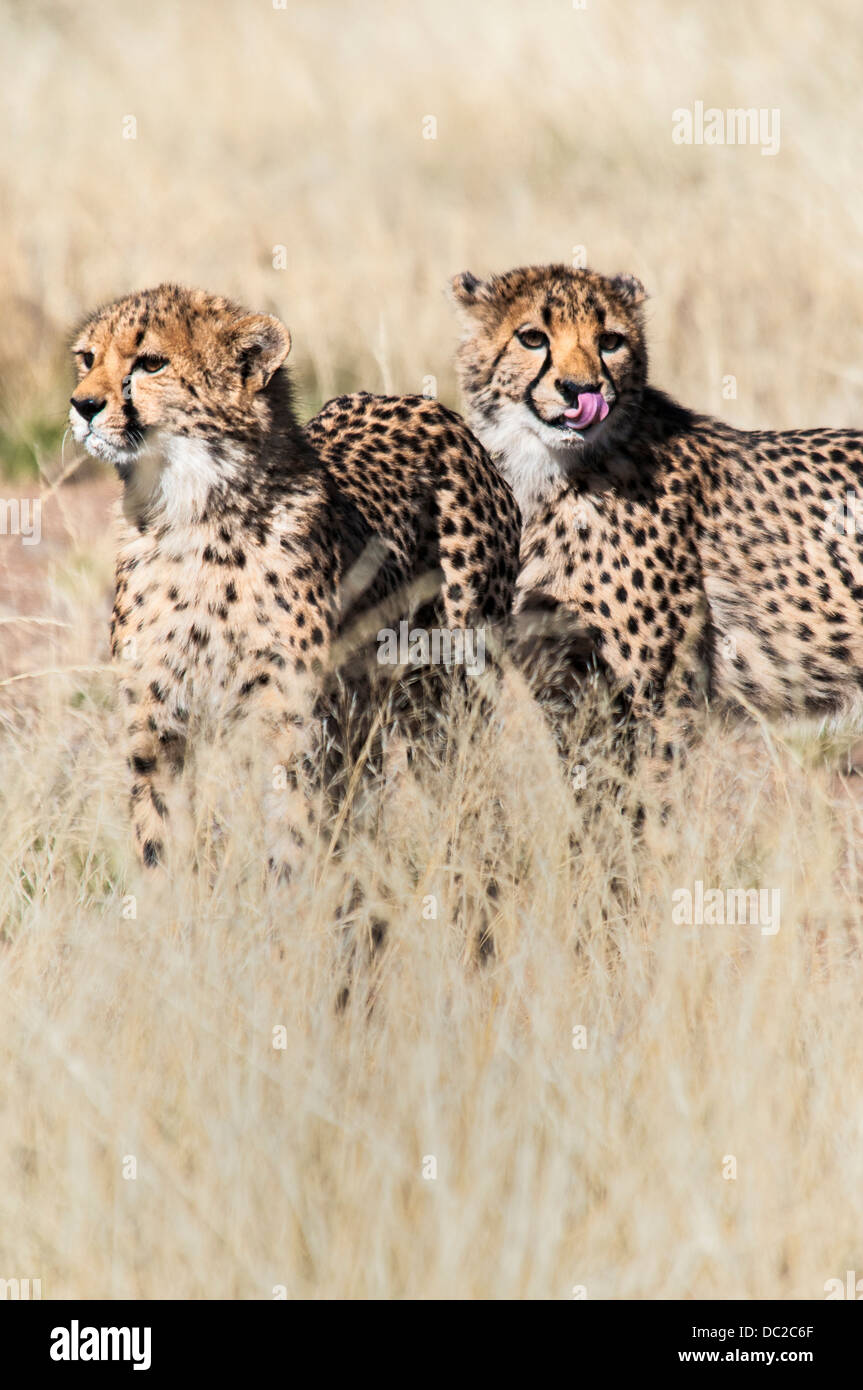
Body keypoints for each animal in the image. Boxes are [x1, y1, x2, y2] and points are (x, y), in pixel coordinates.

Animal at [69, 283, 520, 875]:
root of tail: (428, 405)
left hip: (453, 690)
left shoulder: (292, 727)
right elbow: (158, 842)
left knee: (462, 786)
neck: (190, 515)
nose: (83, 406)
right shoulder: (157, 726)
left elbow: (292, 838)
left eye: (151, 362)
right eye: (87, 358)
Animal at [450, 262, 863, 764]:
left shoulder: (661, 698)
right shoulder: (569, 686)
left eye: (610, 341)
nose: (581, 389)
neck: (546, 472)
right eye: (532, 338)